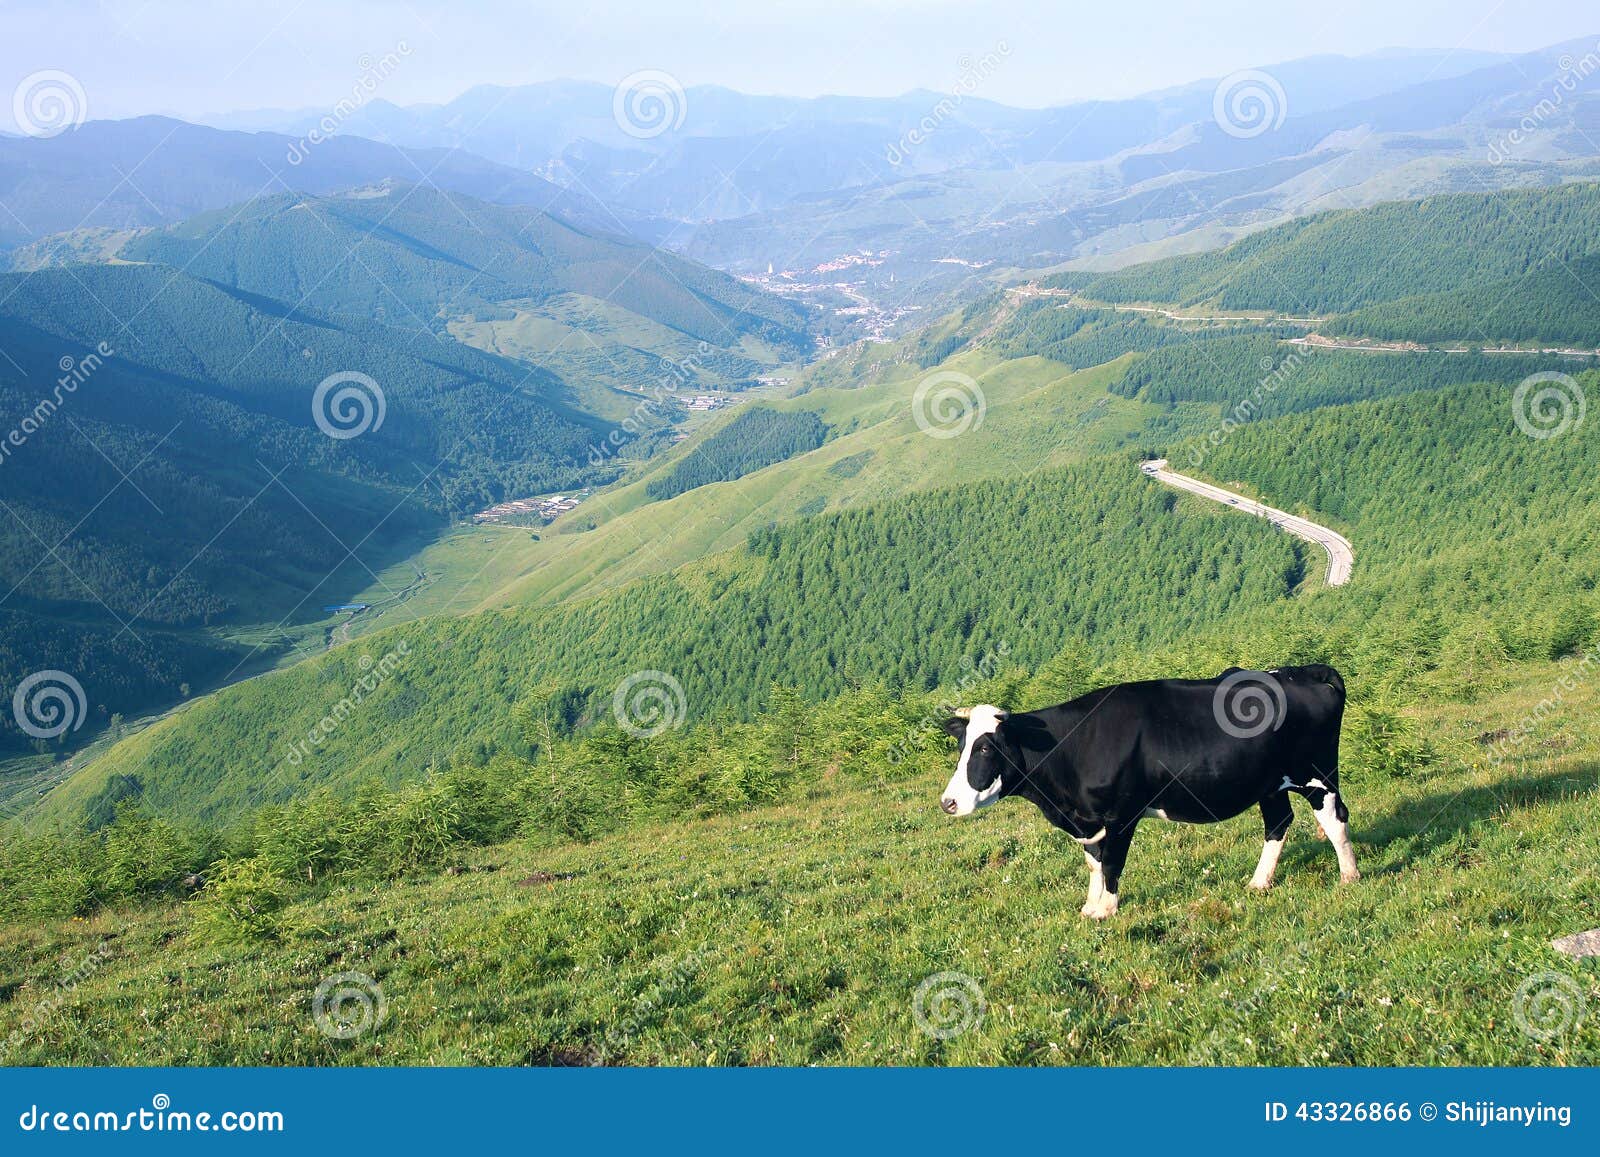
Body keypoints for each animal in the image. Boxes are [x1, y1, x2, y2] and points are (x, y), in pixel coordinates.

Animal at [939, 665, 1356, 918]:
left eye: (986, 748)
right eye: (962, 746)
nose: (948, 802)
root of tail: (1301, 671)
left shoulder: (1122, 814)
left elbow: (1111, 862)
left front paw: (1106, 910)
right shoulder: (1089, 819)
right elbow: (1093, 861)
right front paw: (1090, 907)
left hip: (1317, 775)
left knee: (1335, 818)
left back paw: (1349, 877)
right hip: (1269, 784)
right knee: (1279, 822)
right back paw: (1259, 883)